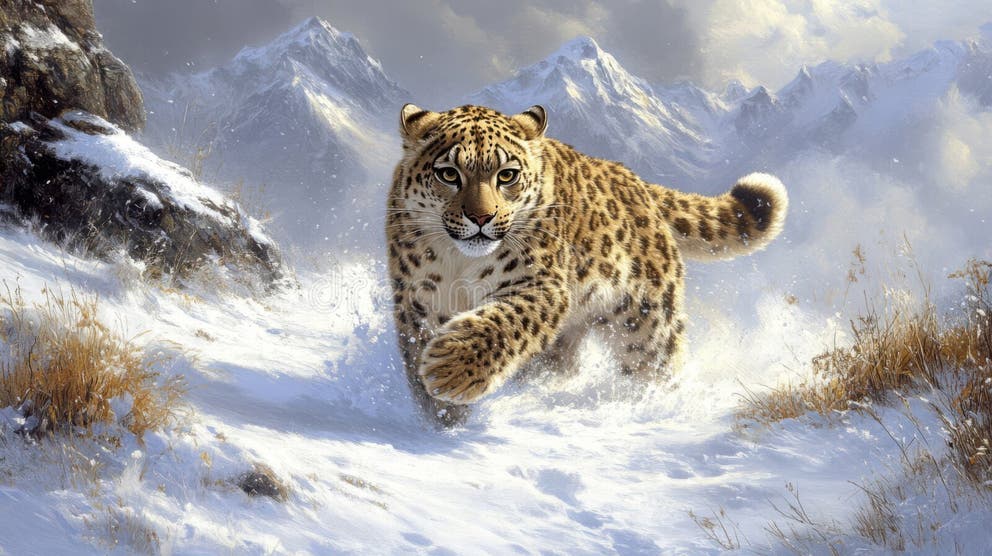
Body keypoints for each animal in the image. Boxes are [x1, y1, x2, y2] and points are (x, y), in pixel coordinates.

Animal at [387, 103, 788, 427]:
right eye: (448, 174)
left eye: (507, 175)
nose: (481, 217)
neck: (459, 261)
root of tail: (638, 183)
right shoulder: (418, 299)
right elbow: (417, 346)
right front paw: (443, 412)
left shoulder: (541, 285)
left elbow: (505, 322)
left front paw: (450, 371)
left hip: (646, 327)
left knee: (656, 366)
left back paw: (656, 404)